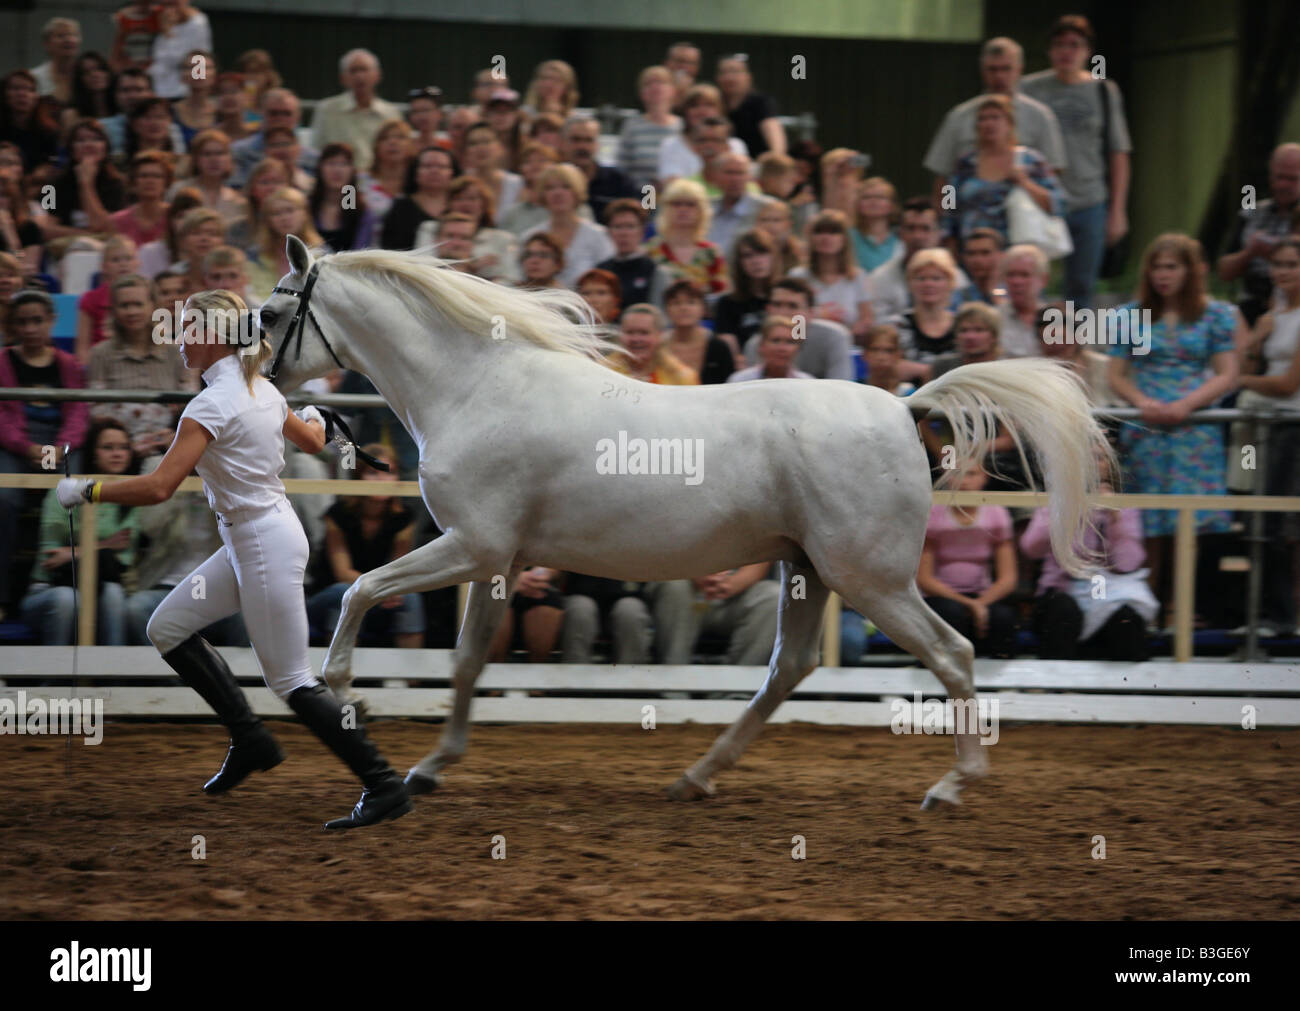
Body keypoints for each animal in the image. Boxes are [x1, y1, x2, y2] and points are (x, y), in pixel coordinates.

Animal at [259, 235, 1110, 809]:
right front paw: (431, 766)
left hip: (871, 580)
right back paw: (695, 775)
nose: (267, 386)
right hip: (808, 571)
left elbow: (363, 588)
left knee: (952, 652)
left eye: (271, 309)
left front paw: (343, 688)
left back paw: (952, 785)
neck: (473, 386)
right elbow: (467, 663)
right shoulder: (500, 561)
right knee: (789, 669)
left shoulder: (471, 546)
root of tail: (905, 408)